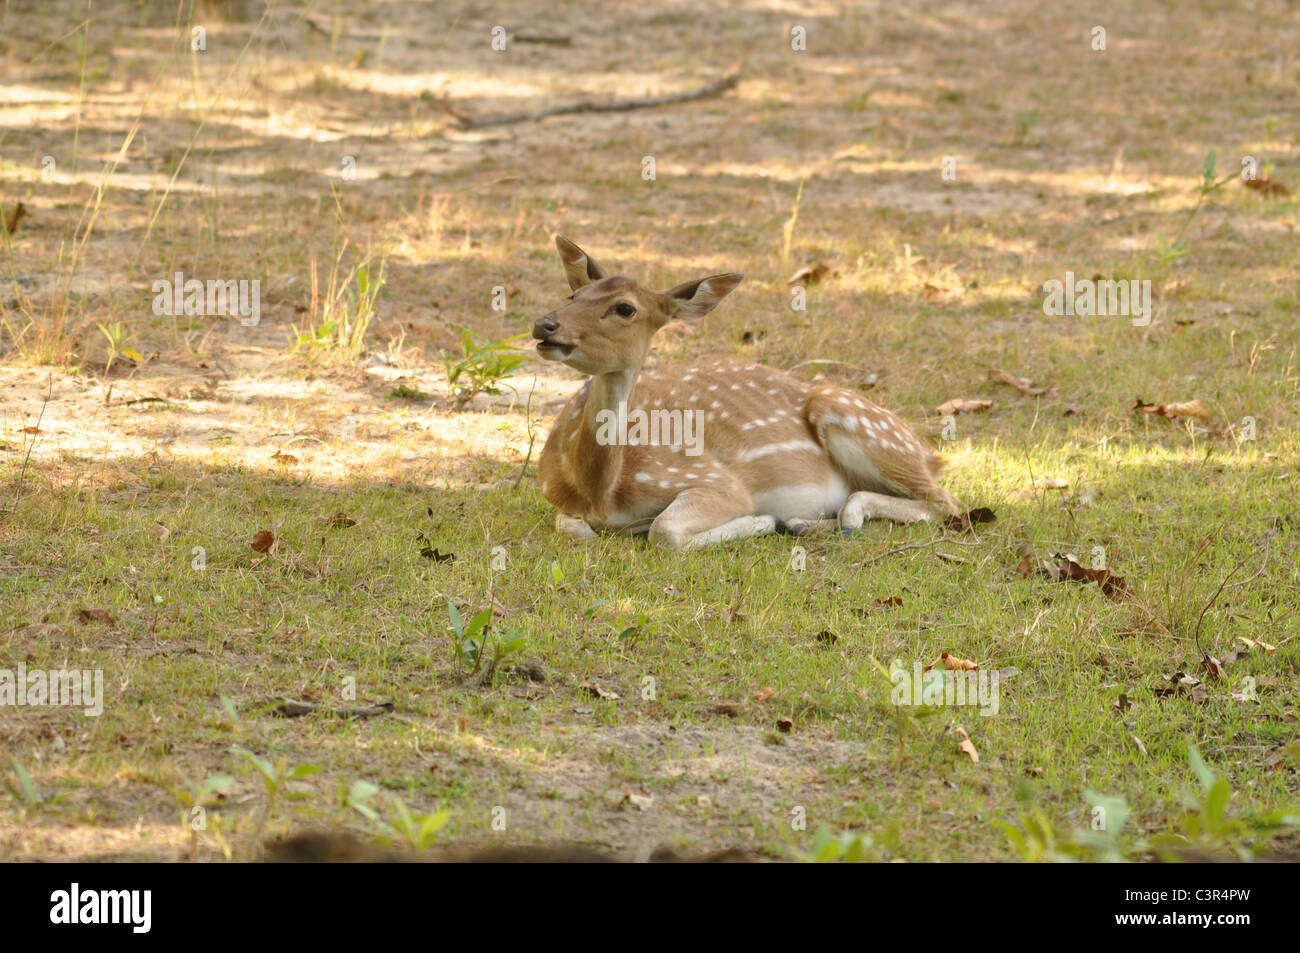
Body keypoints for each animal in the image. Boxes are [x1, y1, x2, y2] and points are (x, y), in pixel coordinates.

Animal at [532, 236, 961, 550]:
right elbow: (576, 530)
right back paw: (806, 523)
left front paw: (761, 520)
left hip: (859, 422)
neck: (600, 493)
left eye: (625, 308)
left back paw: (835, 518)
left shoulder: (714, 479)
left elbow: (665, 531)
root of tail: (929, 452)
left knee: (944, 501)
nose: (545, 324)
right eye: (574, 296)